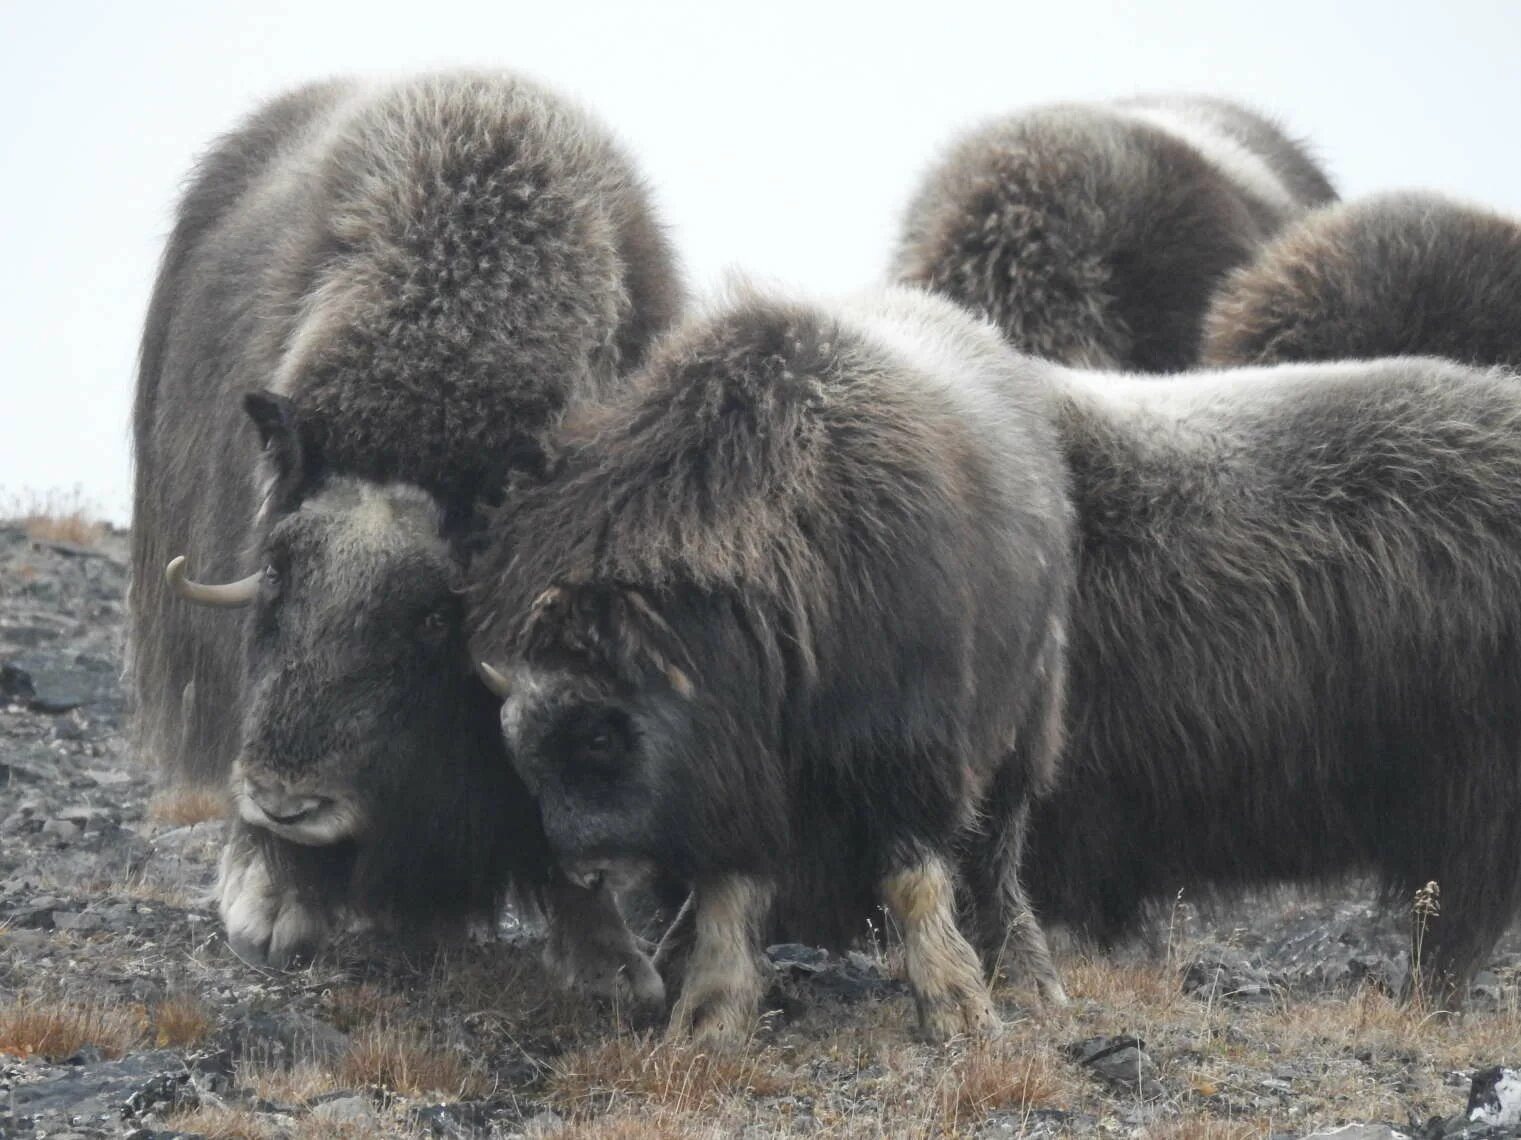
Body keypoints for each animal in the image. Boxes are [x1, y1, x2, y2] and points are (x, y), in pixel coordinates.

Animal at [469, 286, 1075, 1043]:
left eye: (602, 735)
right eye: (517, 745)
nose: (582, 874)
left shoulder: (902, 746)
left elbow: (913, 874)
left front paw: (957, 1010)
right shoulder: (738, 784)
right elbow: (727, 892)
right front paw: (707, 1018)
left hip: (1025, 718)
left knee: (997, 852)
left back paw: (1028, 979)